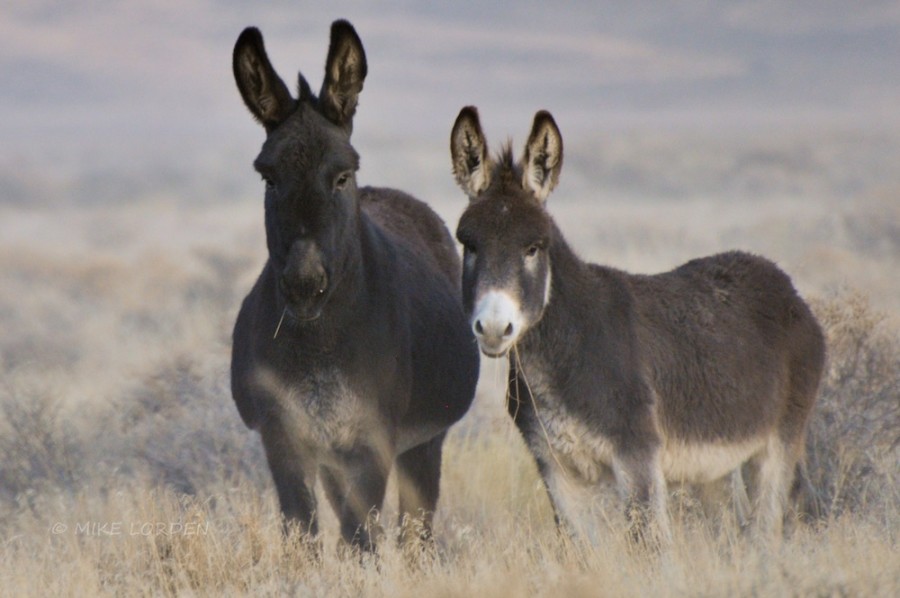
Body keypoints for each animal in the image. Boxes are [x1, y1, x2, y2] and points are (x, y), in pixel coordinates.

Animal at [229, 21, 479, 553]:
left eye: (343, 174)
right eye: (268, 178)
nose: (304, 286)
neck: (320, 344)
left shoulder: (373, 441)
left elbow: (360, 537)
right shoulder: (285, 440)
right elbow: (304, 536)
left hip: (423, 442)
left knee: (415, 531)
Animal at [449, 106, 825, 543]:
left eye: (533, 248)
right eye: (469, 245)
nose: (493, 329)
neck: (567, 348)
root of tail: (784, 285)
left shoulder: (638, 454)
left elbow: (650, 544)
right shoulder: (557, 467)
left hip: (779, 440)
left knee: (767, 528)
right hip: (716, 466)